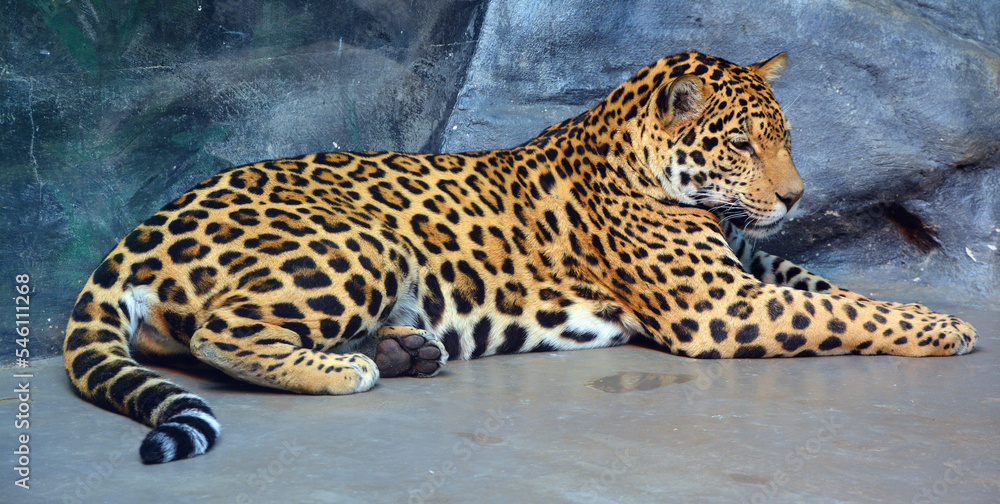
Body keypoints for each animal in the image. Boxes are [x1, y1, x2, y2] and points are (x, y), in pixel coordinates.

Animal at [63, 51, 978, 464]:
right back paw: (349, 369)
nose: (794, 197)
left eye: (784, 139)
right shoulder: (722, 305)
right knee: (217, 335)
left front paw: (932, 315)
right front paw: (948, 328)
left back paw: (405, 349)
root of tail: (140, 227)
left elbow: (830, 286)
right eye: (743, 145)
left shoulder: (754, 268)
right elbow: (843, 309)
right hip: (361, 238)